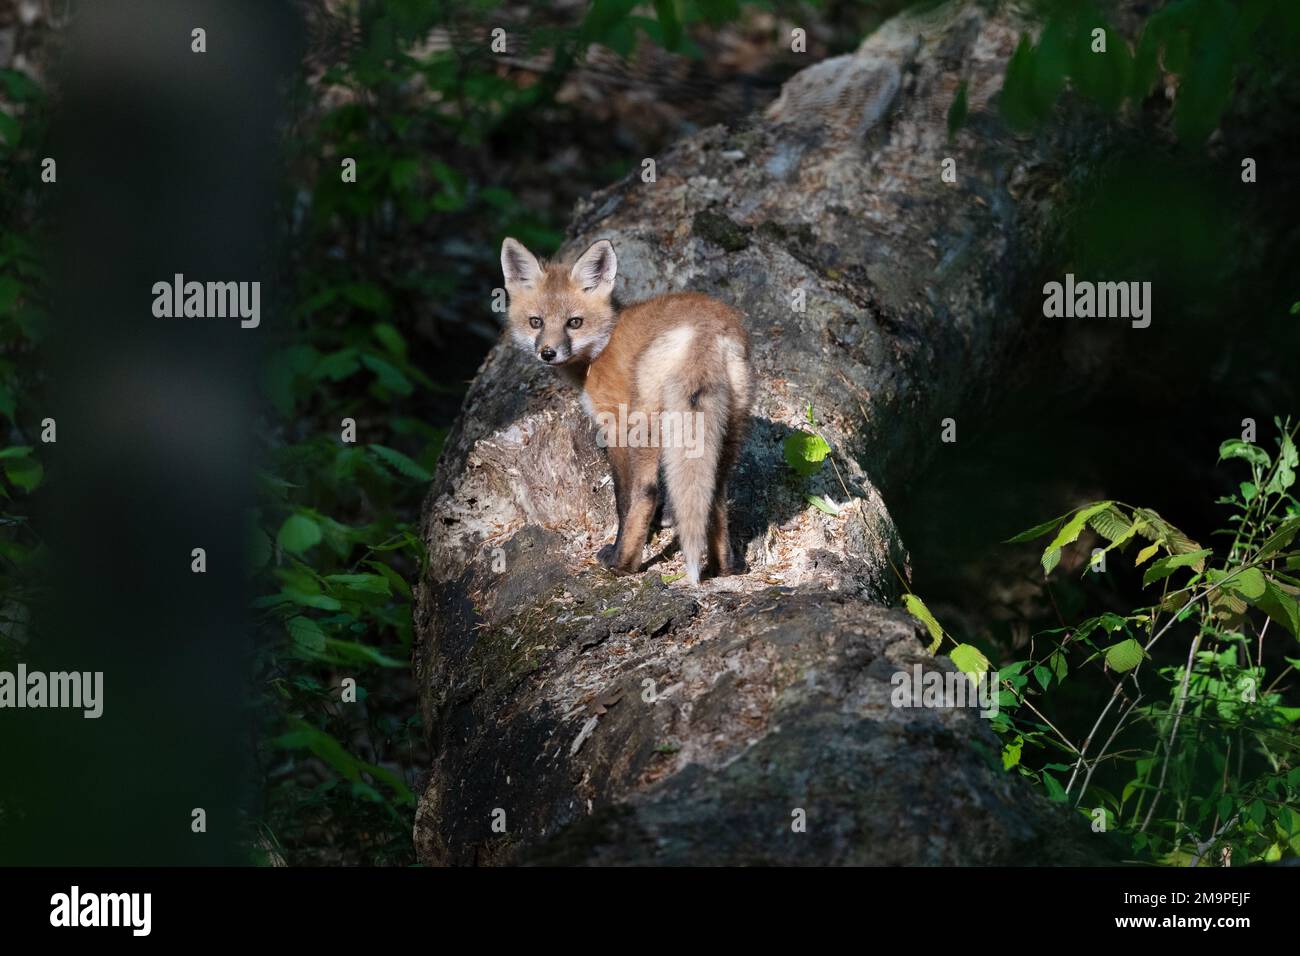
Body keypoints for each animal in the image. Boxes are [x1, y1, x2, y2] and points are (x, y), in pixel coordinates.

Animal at [500, 236, 752, 585]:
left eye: (574, 323)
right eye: (535, 322)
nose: (548, 353)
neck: (600, 350)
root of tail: (703, 328)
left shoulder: (615, 424)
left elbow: (623, 499)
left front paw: (623, 545)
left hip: (646, 423)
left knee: (647, 492)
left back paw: (623, 563)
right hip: (730, 423)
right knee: (715, 493)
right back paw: (725, 567)